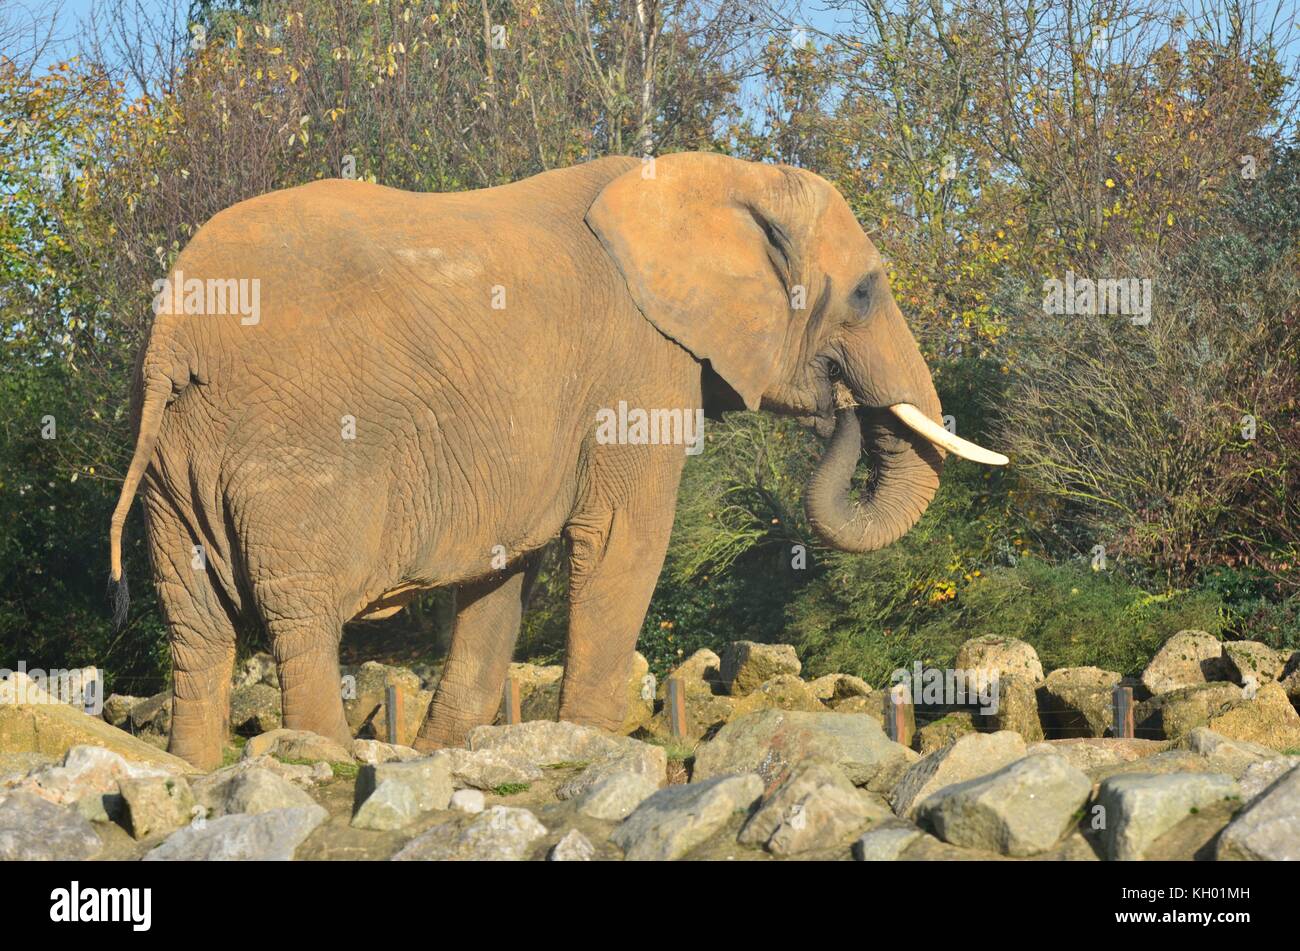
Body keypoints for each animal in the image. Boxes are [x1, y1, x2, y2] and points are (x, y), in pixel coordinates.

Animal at [107, 151, 1007, 769]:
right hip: (290, 445)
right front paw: (590, 744)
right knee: (299, 616)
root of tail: (174, 336)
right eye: (864, 293)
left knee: (195, 625)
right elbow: (623, 536)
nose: (836, 404)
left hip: (173, 457)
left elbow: (502, 571)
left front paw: (446, 752)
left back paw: (192, 767)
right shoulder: (638, 362)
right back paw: (320, 754)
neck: (719, 176)